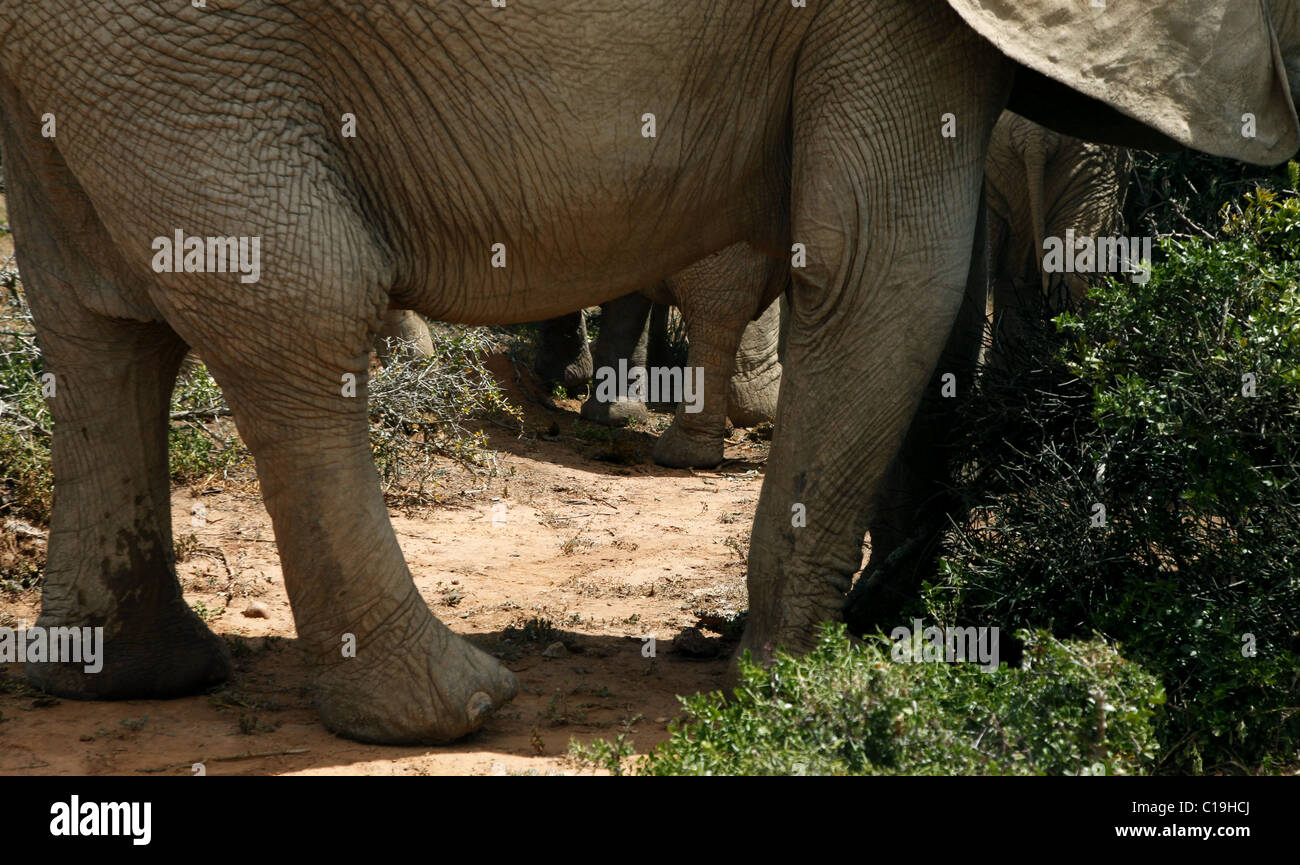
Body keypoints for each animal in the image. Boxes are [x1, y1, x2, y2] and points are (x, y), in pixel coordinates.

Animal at [2, 0, 1297, 745]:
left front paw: (888, 626)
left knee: (99, 322)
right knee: (290, 300)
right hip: (185, 46)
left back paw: (131, 676)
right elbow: (879, 263)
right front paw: (799, 679)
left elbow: (922, 287)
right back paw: (451, 705)